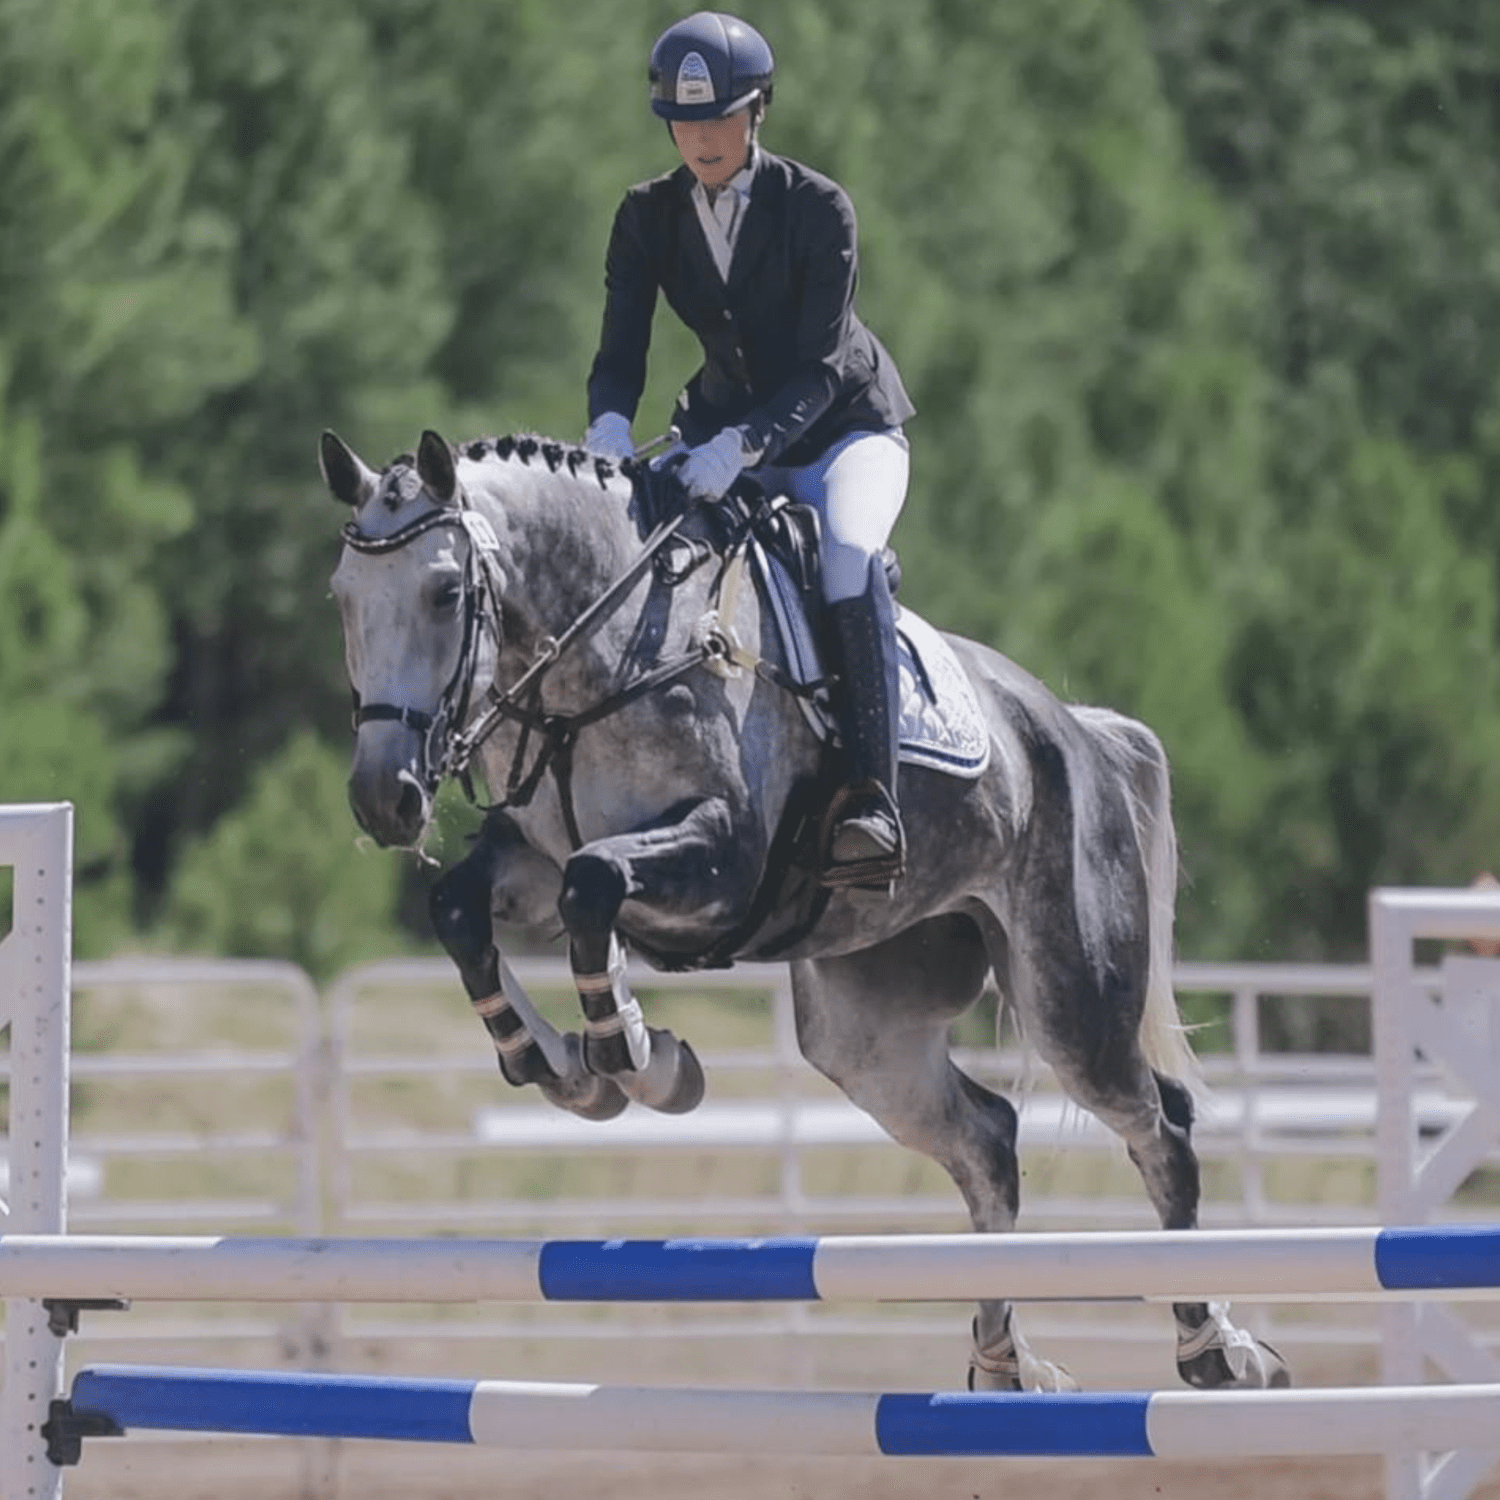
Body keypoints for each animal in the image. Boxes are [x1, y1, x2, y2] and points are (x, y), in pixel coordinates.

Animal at [319, 425, 1288, 1394]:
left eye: (446, 592)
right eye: (342, 598)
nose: (382, 800)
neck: (608, 656)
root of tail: (1078, 728)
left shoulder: (719, 860)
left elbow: (592, 887)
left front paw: (639, 1056)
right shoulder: (530, 856)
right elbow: (461, 908)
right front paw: (563, 1066)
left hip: (1071, 999)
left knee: (1158, 1122)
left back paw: (1215, 1345)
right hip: (865, 1030)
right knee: (986, 1140)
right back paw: (1005, 1359)